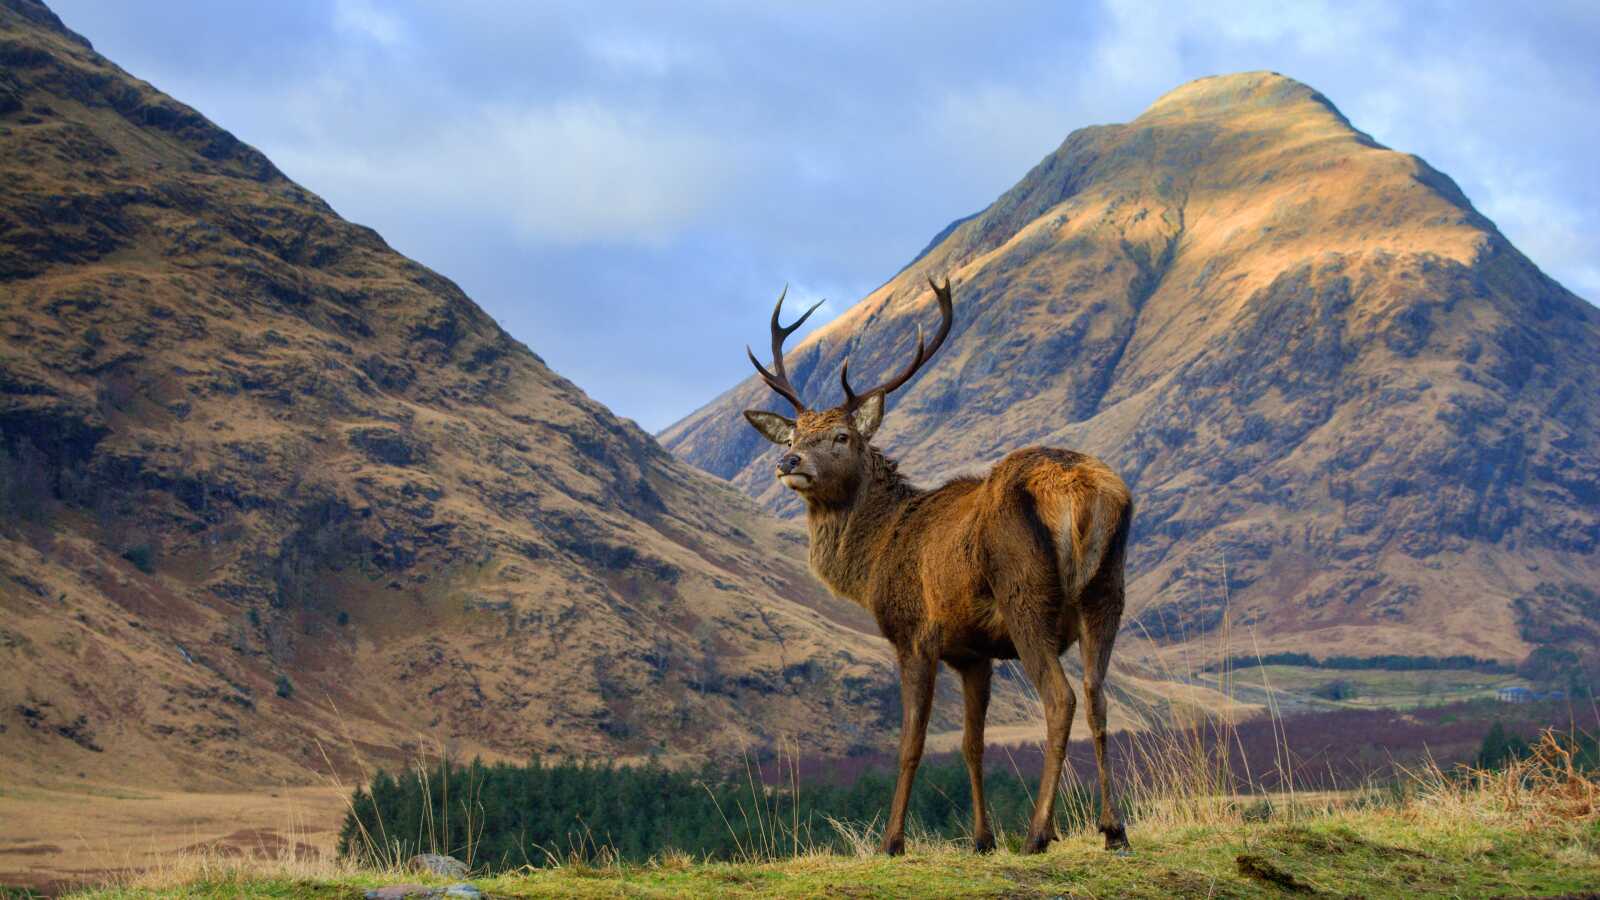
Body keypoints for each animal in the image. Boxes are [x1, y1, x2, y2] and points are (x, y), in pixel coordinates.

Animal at [739, 277, 1133, 856]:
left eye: (841, 437)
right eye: (793, 436)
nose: (788, 462)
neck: (877, 554)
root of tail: (1083, 492)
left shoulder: (915, 633)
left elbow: (911, 743)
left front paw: (892, 840)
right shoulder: (973, 654)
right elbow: (972, 745)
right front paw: (982, 838)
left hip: (1026, 594)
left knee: (1060, 698)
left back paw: (1039, 832)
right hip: (1107, 590)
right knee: (1096, 695)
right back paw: (1113, 828)